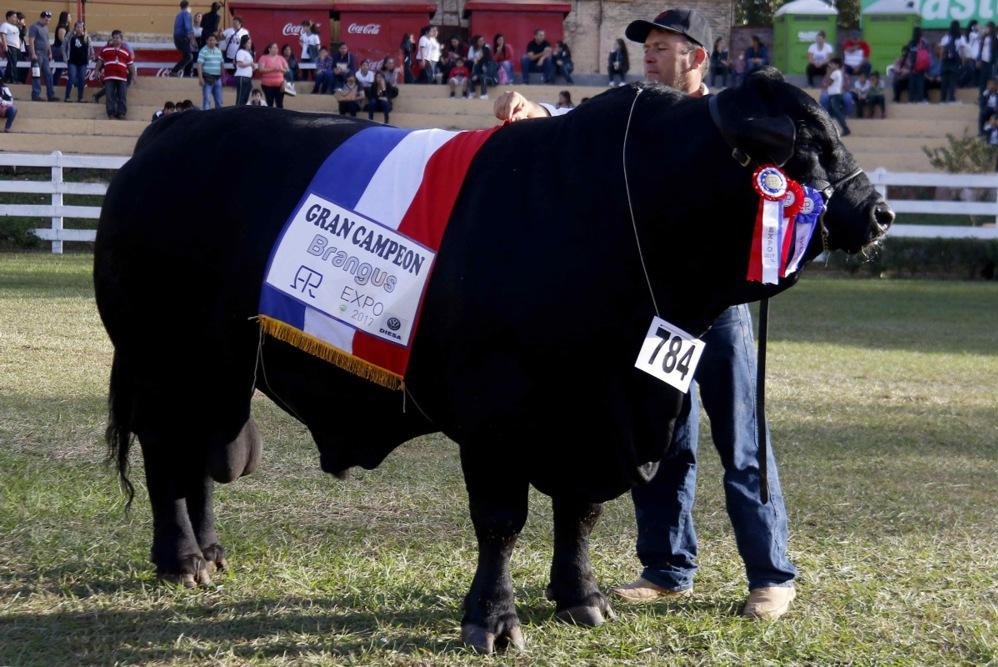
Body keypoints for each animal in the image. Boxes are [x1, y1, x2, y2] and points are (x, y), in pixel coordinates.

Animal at [94, 69, 893, 653]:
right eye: (804, 144)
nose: (879, 212)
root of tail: (169, 129)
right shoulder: (497, 413)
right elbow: (502, 519)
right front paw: (494, 620)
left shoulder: (592, 417)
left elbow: (580, 512)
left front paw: (582, 598)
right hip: (161, 360)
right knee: (166, 456)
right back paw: (182, 559)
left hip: (216, 373)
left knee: (201, 456)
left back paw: (211, 551)